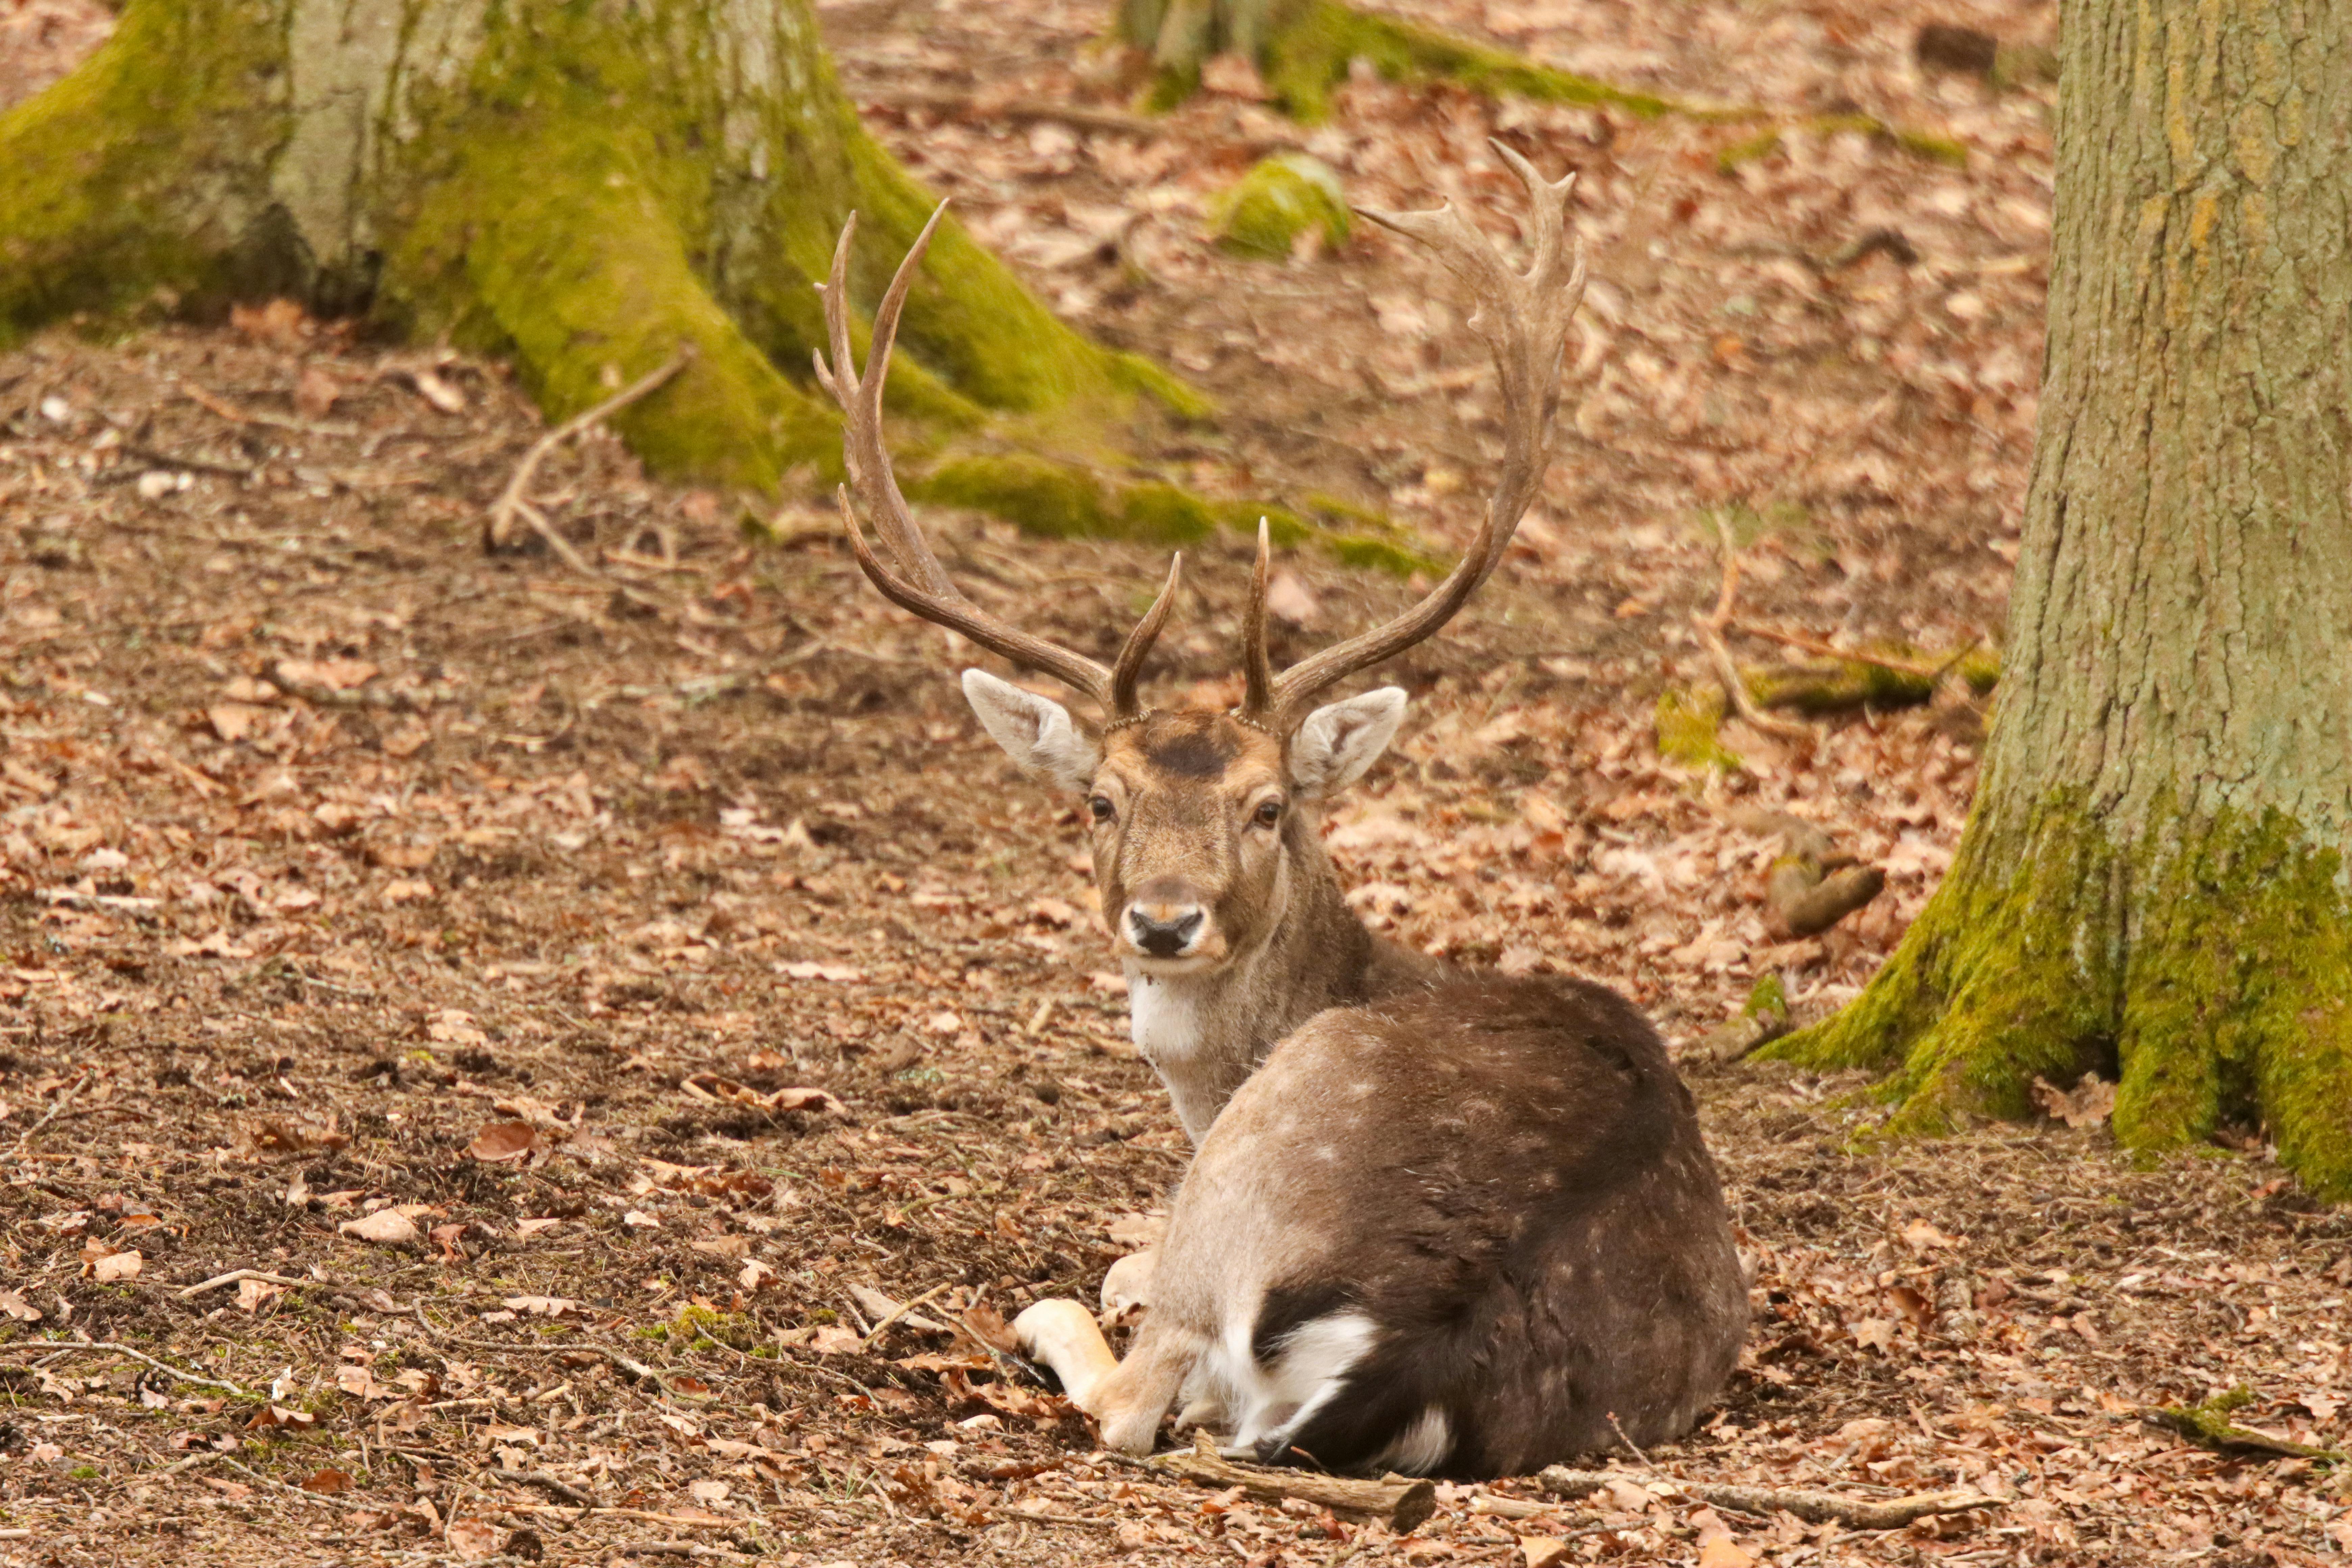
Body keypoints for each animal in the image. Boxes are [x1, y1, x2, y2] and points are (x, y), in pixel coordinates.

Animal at [812, 147, 1746, 1479]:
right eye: (1099, 801)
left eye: (1266, 807)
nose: (1163, 921)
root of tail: (1407, 1340)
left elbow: (1122, 1286)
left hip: (1254, 1170)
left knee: (1132, 1394)